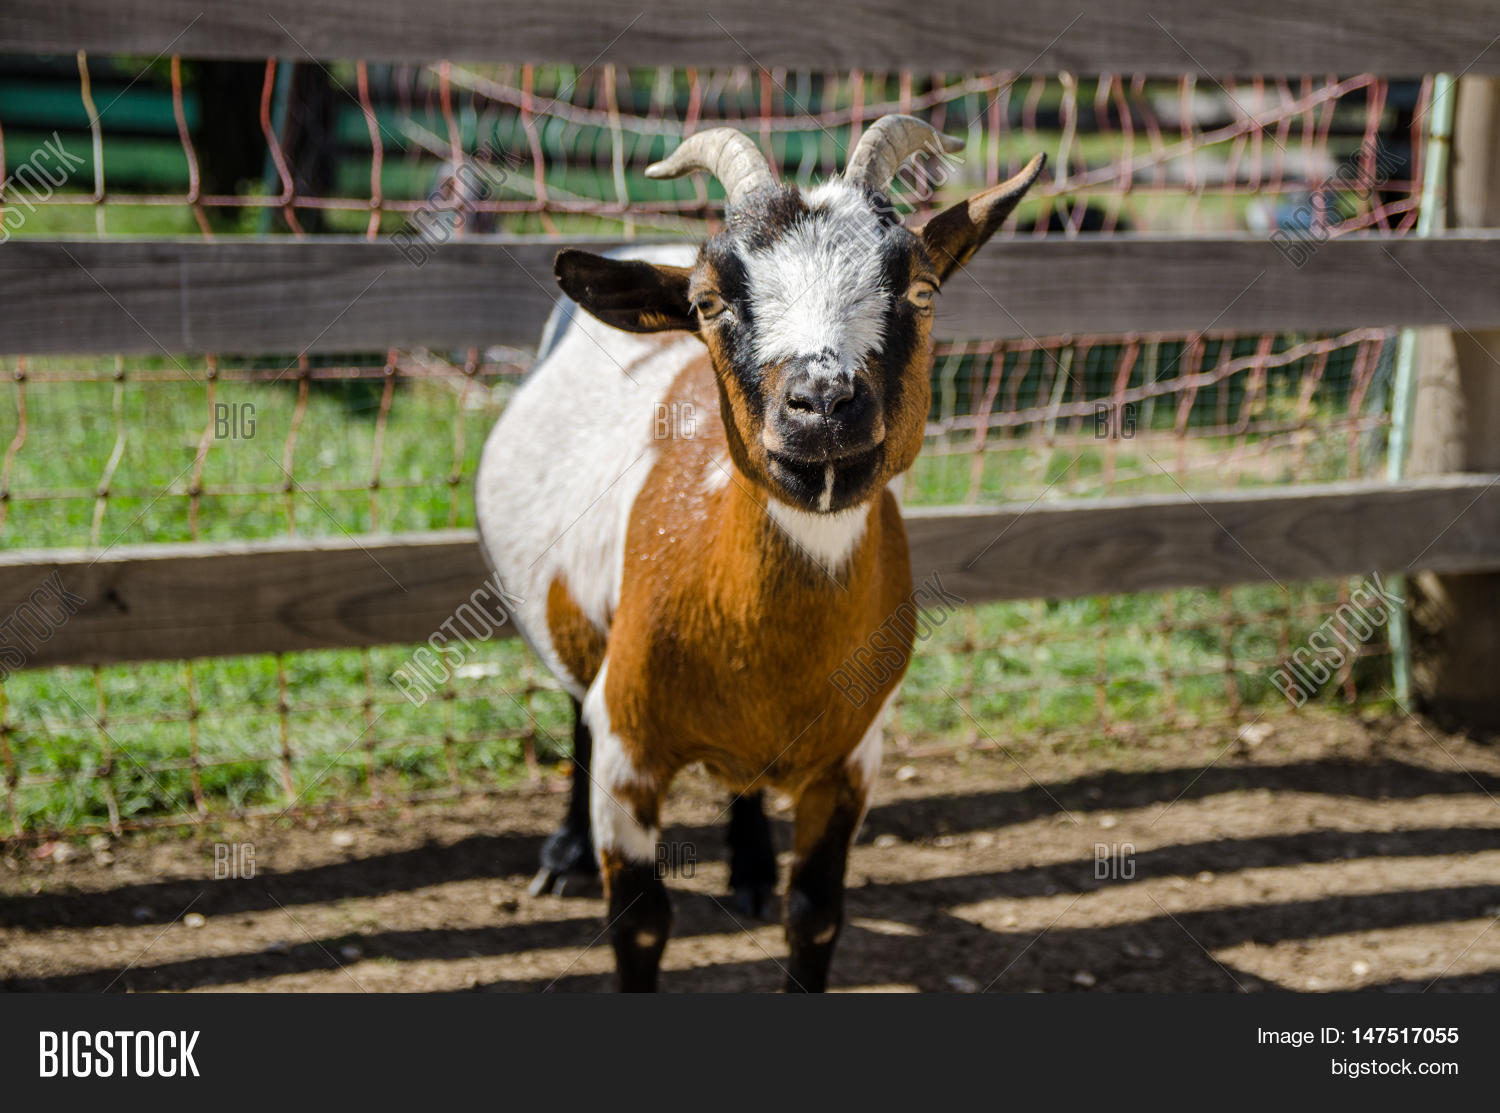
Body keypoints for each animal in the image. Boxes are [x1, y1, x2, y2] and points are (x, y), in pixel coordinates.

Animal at [475, 116, 1044, 990]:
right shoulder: (629, 752)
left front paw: (772, 886)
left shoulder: (851, 759)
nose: (822, 405)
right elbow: (641, 926)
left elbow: (814, 917)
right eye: (709, 303)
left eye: (920, 288)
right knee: (575, 698)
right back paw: (562, 856)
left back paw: (748, 866)